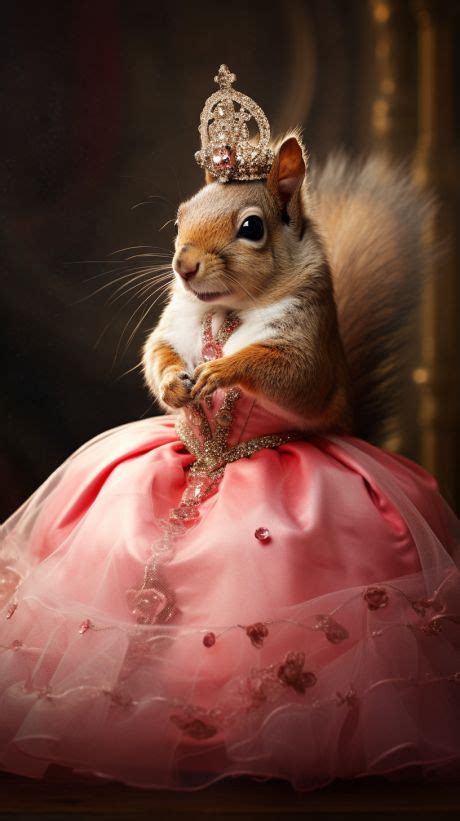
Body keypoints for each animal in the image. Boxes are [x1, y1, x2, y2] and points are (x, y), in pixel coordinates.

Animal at [142, 129, 434, 443]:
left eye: (252, 227)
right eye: (177, 222)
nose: (183, 267)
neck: (227, 307)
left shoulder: (310, 338)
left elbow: (297, 375)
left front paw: (221, 369)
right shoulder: (177, 325)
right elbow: (157, 350)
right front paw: (172, 384)